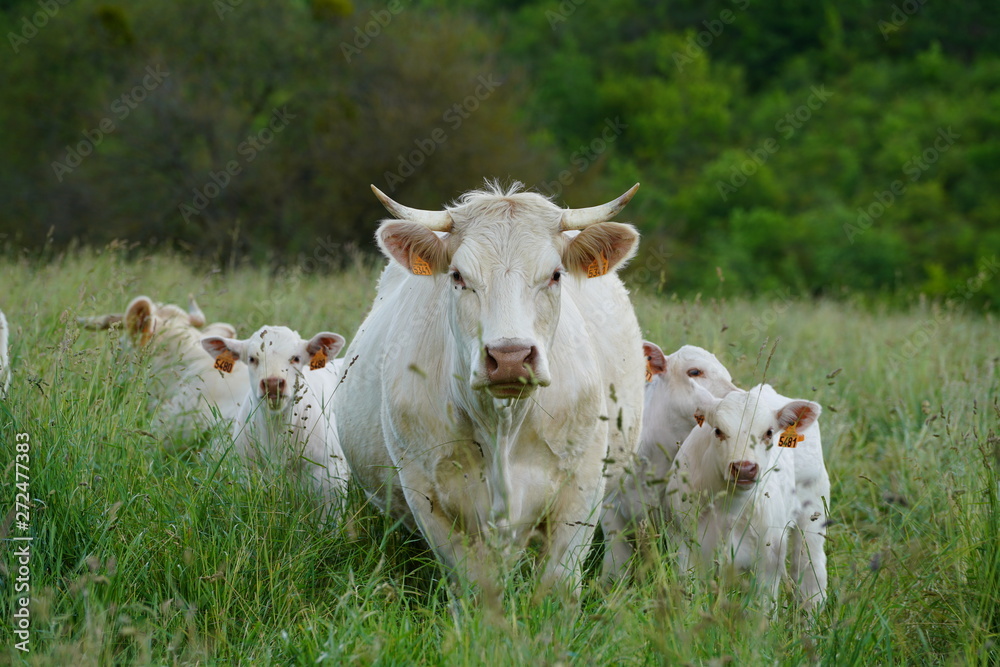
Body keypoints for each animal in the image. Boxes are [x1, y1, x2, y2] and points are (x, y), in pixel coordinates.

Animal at [334, 181, 645, 606]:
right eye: (458, 276)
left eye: (555, 275)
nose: (510, 357)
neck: (503, 423)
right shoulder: (426, 495)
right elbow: (476, 587)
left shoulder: (583, 486)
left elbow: (558, 584)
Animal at [667, 383, 829, 612]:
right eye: (718, 430)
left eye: (769, 432)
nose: (744, 468)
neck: (730, 508)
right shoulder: (683, 542)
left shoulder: (770, 555)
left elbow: (764, 608)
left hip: (814, 509)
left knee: (810, 571)